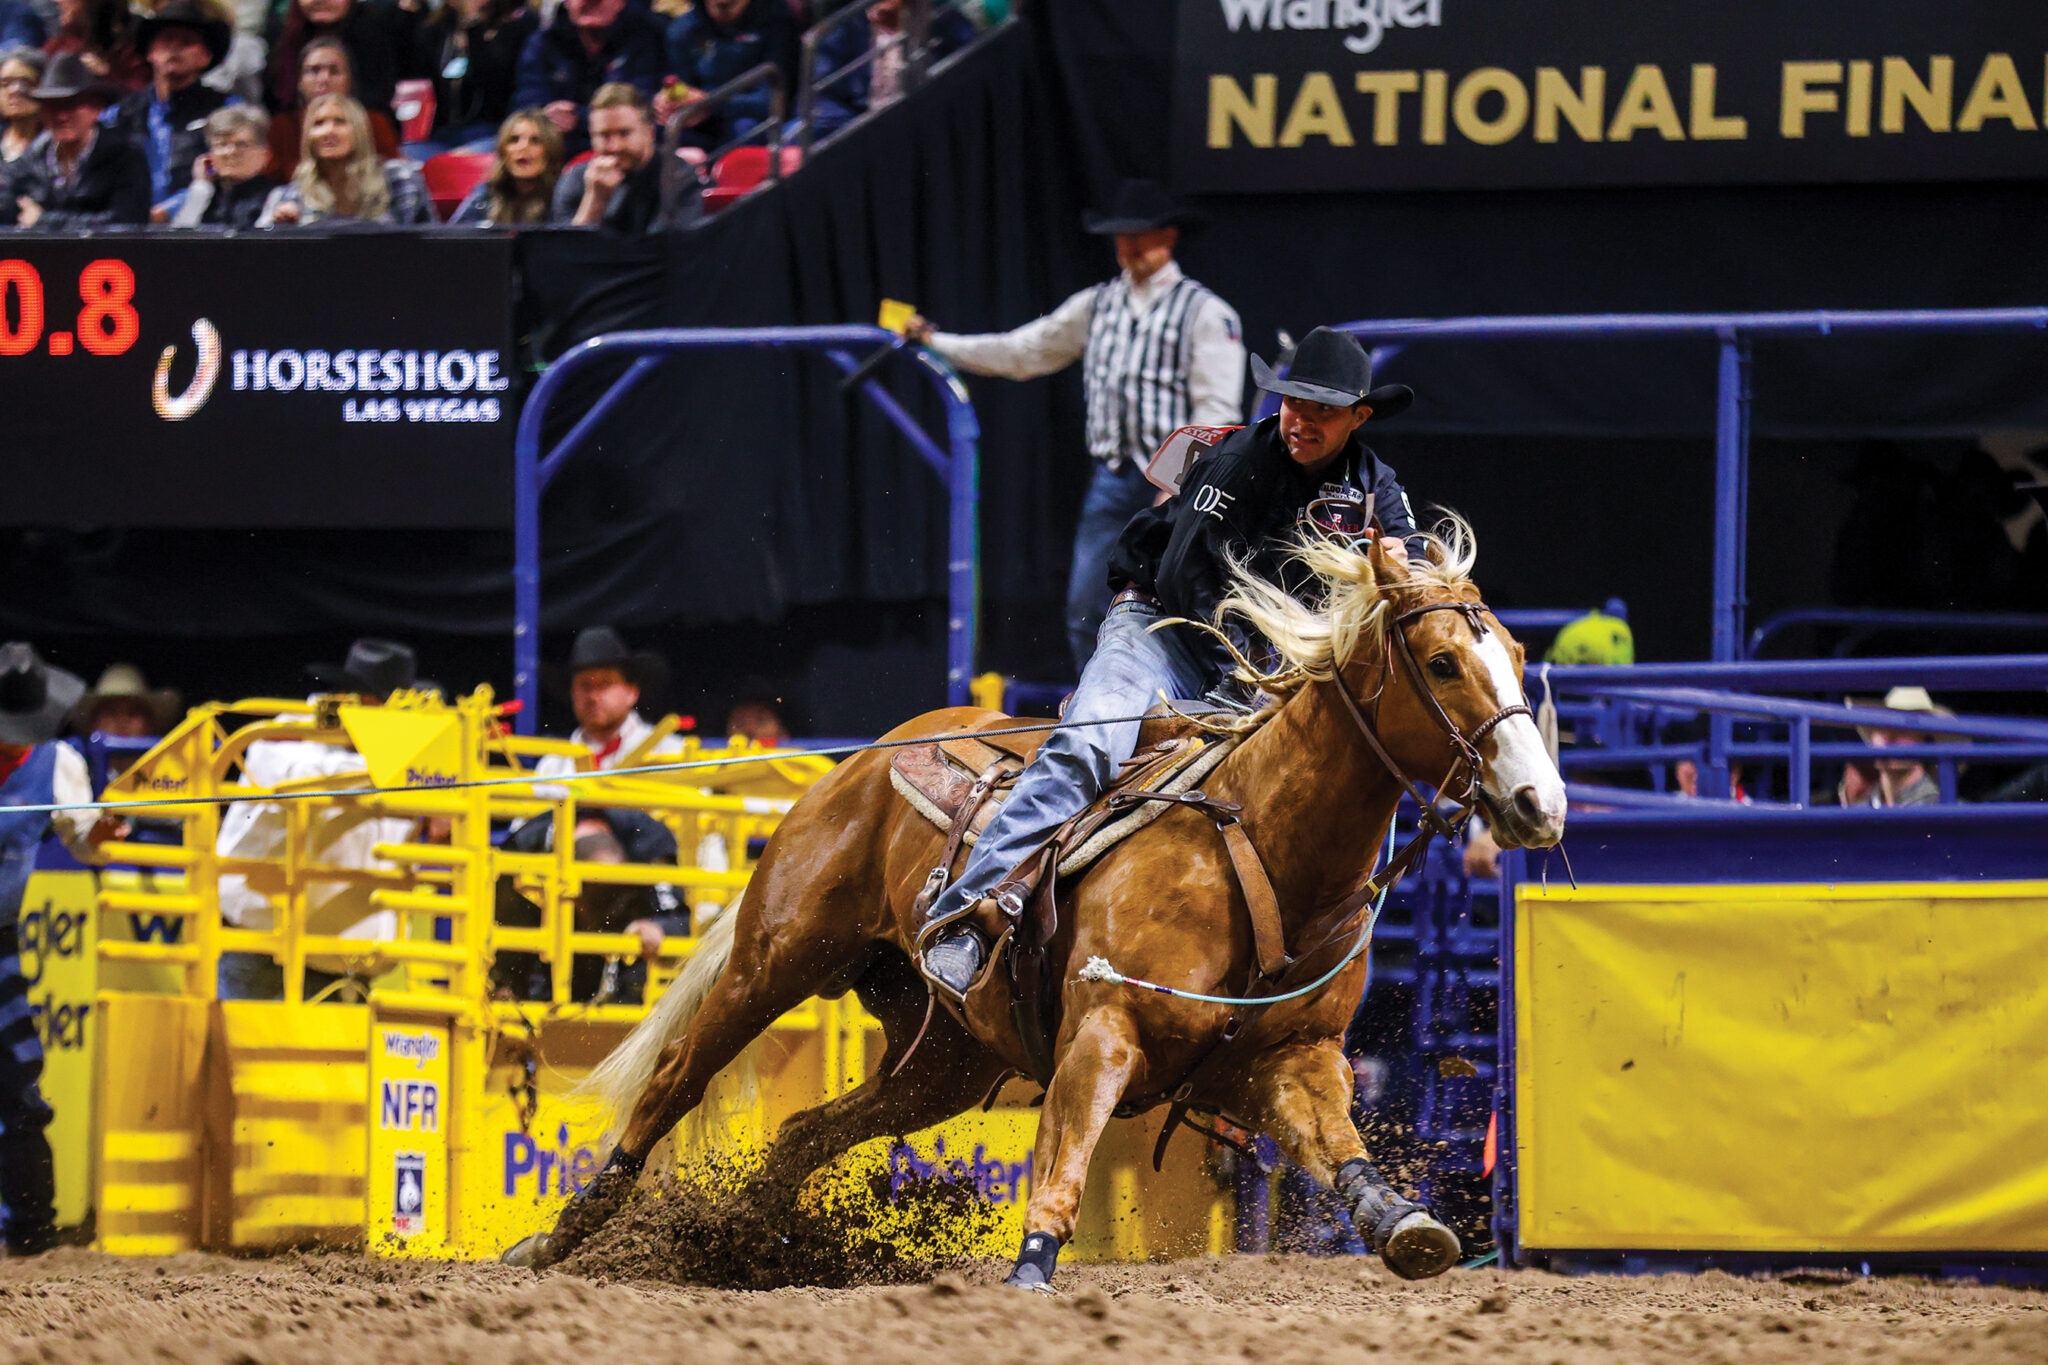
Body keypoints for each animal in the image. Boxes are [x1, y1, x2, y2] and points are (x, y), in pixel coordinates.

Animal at [506, 523, 1568, 1289]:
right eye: (1442, 661)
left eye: (1519, 655)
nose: (1539, 803)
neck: (1262, 846)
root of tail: (864, 758)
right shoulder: (1103, 1026)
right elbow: (1068, 1152)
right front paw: (1032, 1268)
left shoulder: (1290, 1057)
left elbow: (1339, 1145)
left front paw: (1409, 1224)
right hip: (780, 954)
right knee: (676, 1074)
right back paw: (555, 1238)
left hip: (942, 1060)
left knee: (807, 1130)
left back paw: (750, 1245)